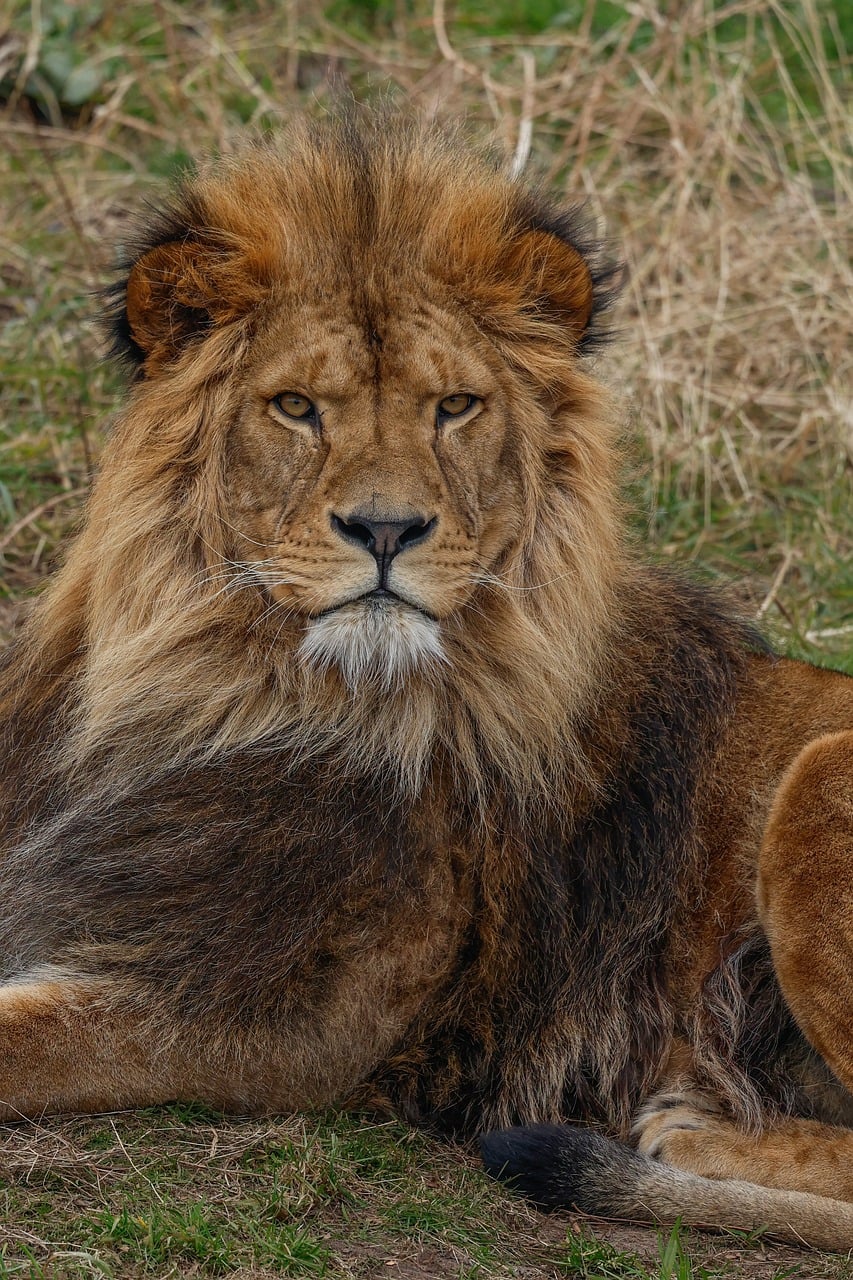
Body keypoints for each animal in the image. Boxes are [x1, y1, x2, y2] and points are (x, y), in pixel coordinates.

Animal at [1, 108, 852, 1251]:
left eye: (454, 406)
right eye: (295, 407)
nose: (385, 528)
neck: (236, 690)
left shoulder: (266, 1017)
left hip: (815, 770)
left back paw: (687, 1131)